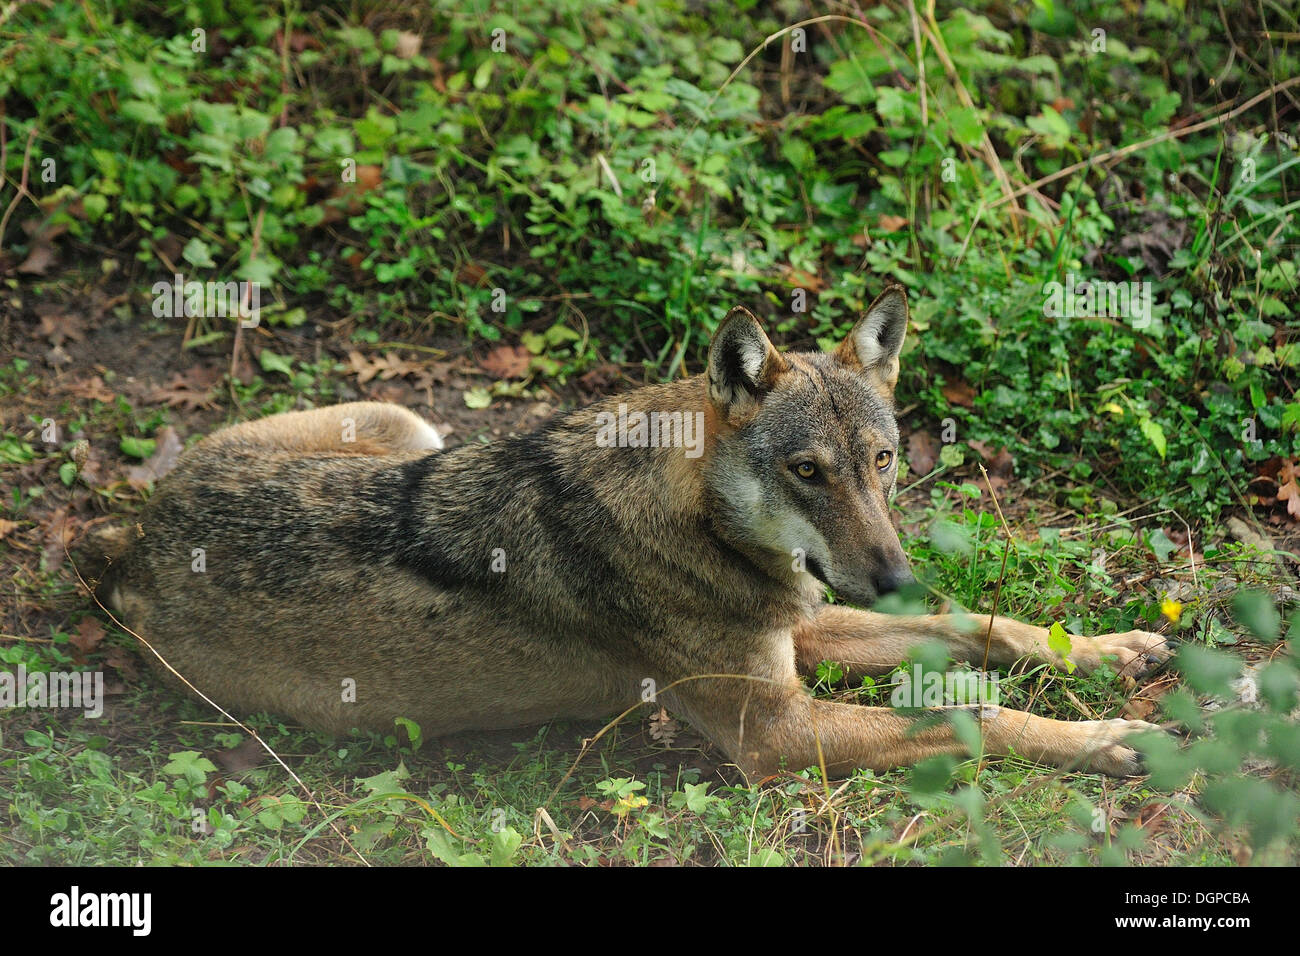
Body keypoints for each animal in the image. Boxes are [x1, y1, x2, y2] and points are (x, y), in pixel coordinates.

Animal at [83, 285, 1170, 778]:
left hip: (409, 429)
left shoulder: (806, 624)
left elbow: (980, 626)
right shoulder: (776, 728)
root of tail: (139, 538)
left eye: (883, 461)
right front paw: (1109, 738)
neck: (696, 520)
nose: (893, 575)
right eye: (806, 471)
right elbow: (974, 713)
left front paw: (1109, 651)